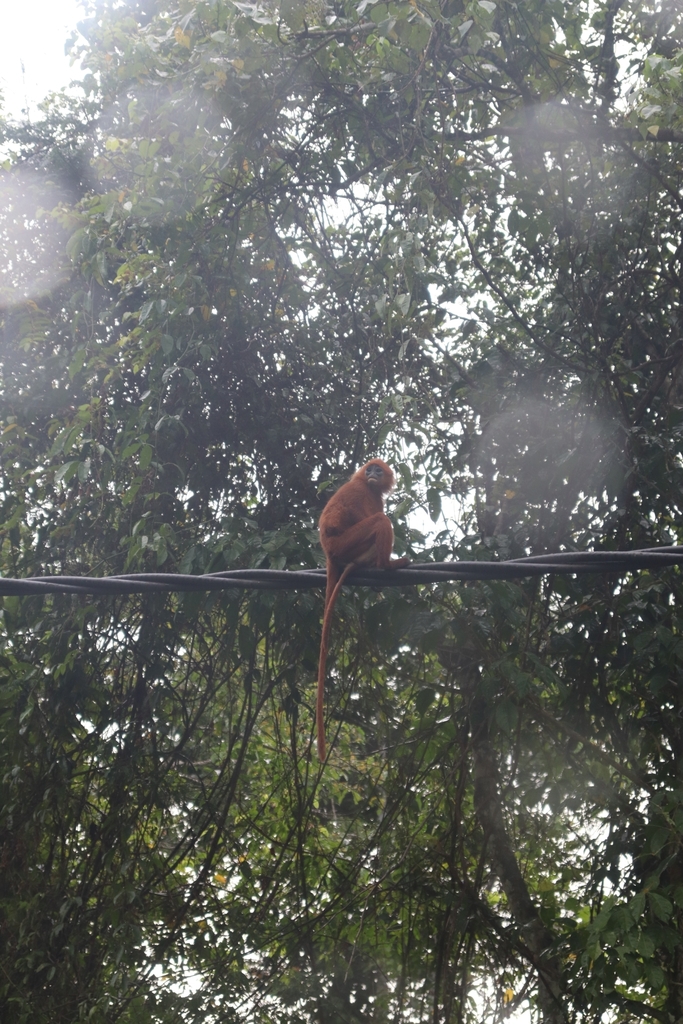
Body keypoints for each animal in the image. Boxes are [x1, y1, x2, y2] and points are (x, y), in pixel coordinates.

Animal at [316, 459, 410, 761]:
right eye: (369, 470)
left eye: (378, 471)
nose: (371, 474)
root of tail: (329, 553)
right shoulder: (360, 491)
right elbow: (357, 514)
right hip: (345, 542)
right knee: (380, 521)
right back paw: (386, 565)